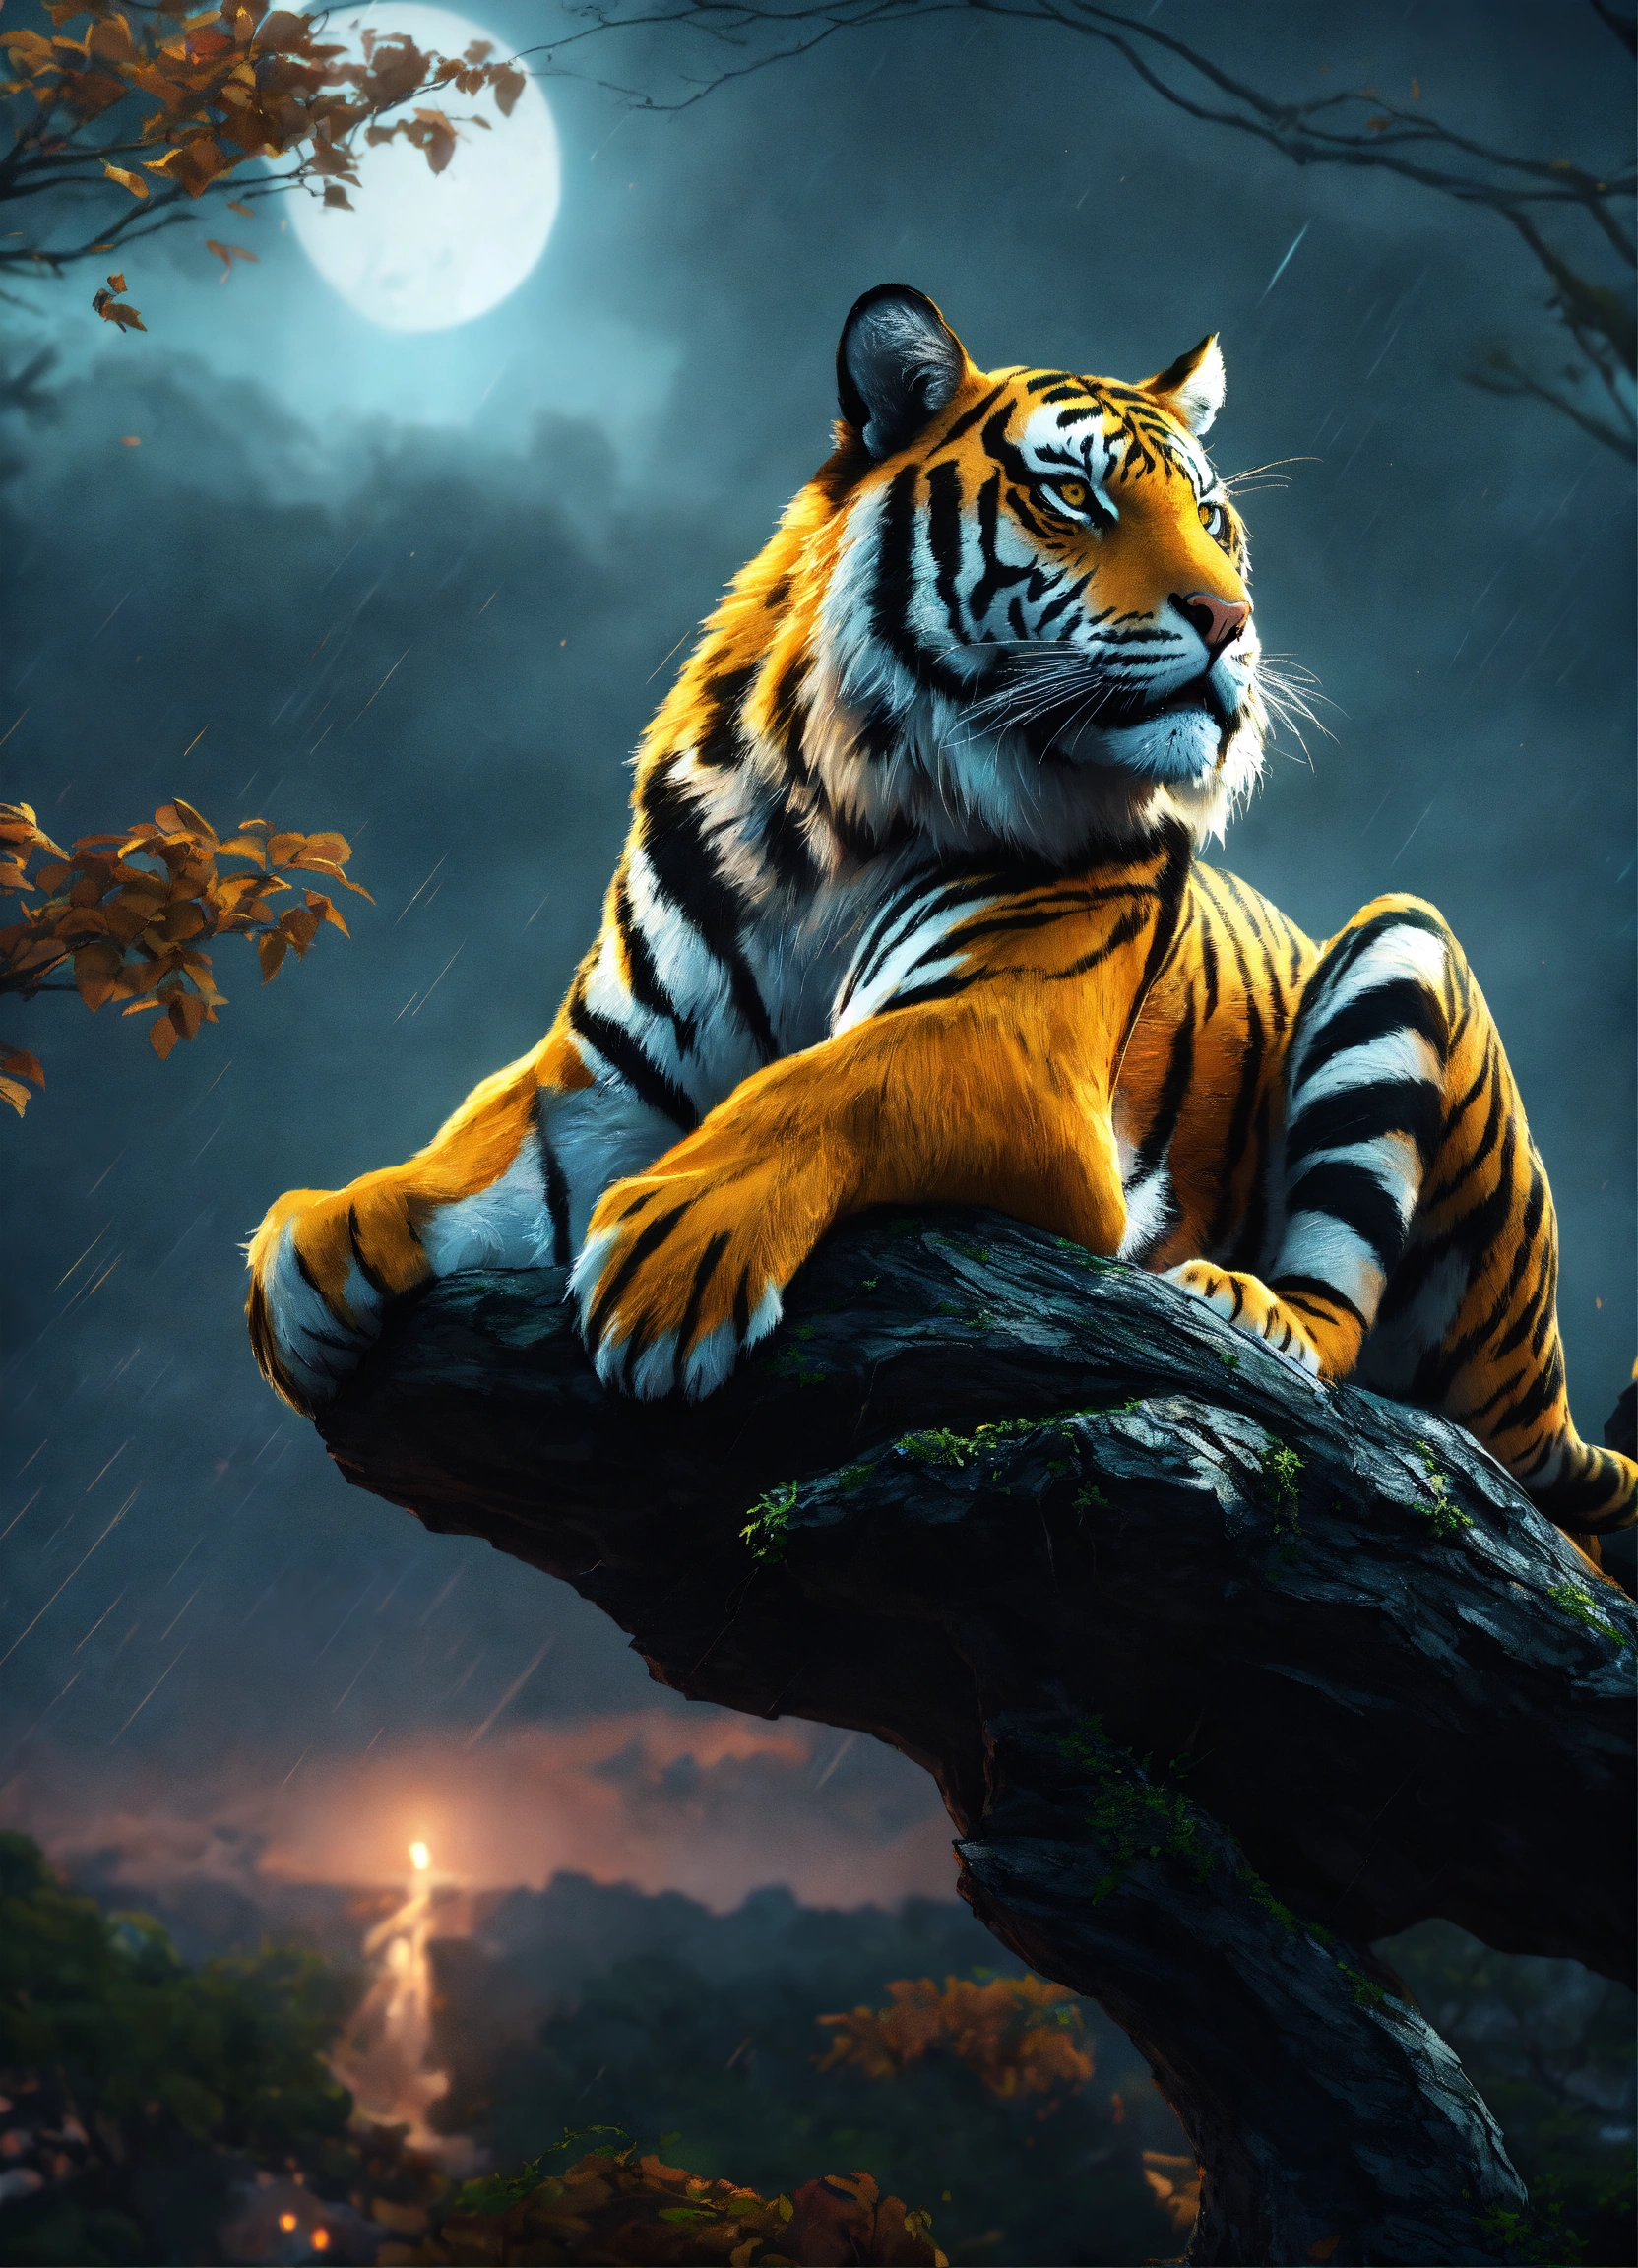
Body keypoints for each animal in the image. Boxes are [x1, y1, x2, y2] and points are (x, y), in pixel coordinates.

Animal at [246, 282, 1637, 1551]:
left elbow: (826, 1080)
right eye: (1075, 498)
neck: (829, 821)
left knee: (1345, 1321)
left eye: (1210, 518)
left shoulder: (1007, 1033)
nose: (1230, 622)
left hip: (1405, 947)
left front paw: (678, 1246)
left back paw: (1244, 1306)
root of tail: (1543, 1385)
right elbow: (486, 1139)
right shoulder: (610, 1073)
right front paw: (316, 1244)